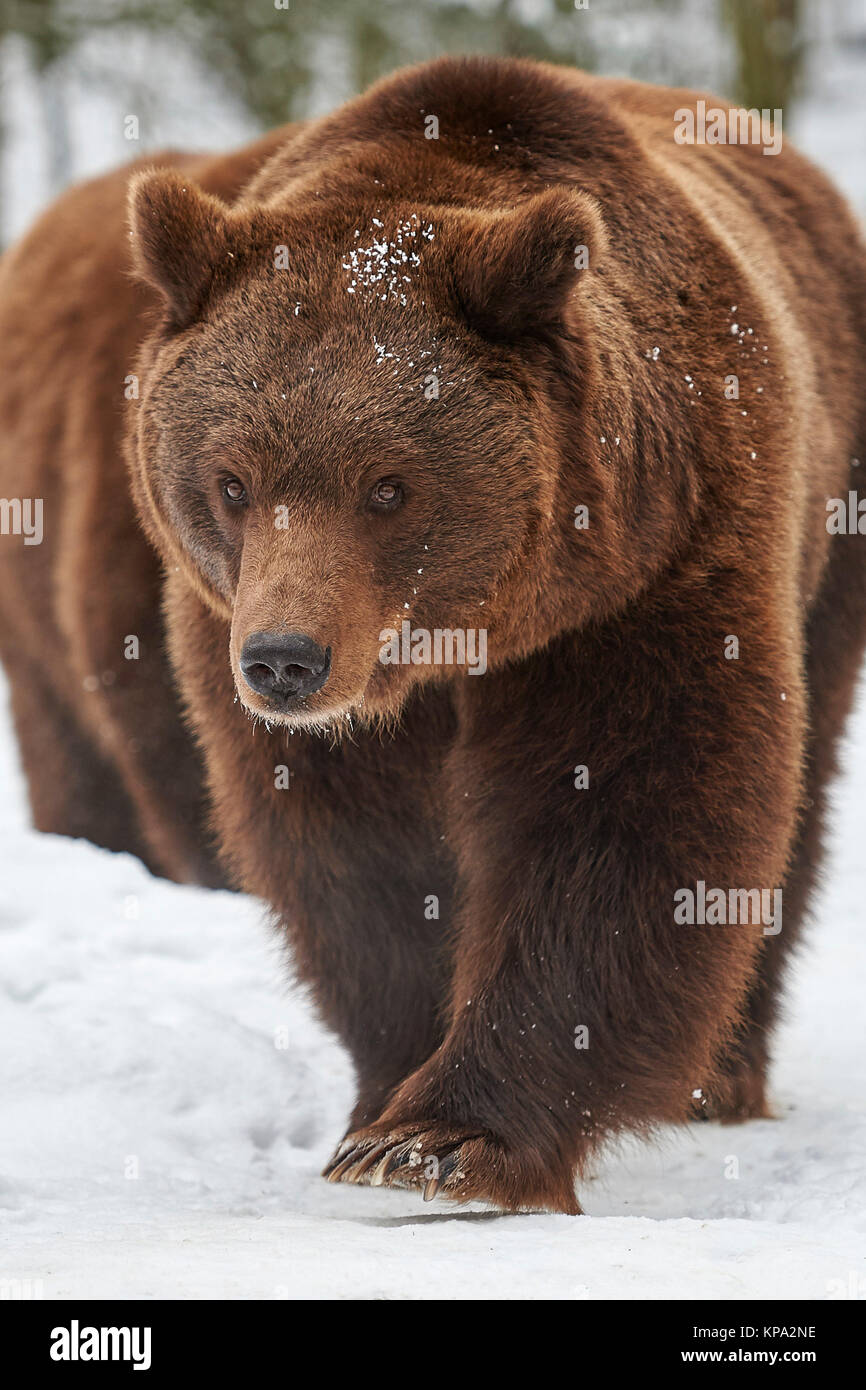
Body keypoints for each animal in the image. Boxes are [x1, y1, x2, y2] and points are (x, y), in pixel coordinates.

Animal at [1, 55, 866, 1214]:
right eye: (231, 480)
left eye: (387, 485)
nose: (284, 662)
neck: (457, 644)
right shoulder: (241, 633)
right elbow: (355, 853)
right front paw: (387, 1100)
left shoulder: (650, 568)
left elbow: (627, 810)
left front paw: (449, 1136)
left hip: (829, 523)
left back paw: (721, 1073)